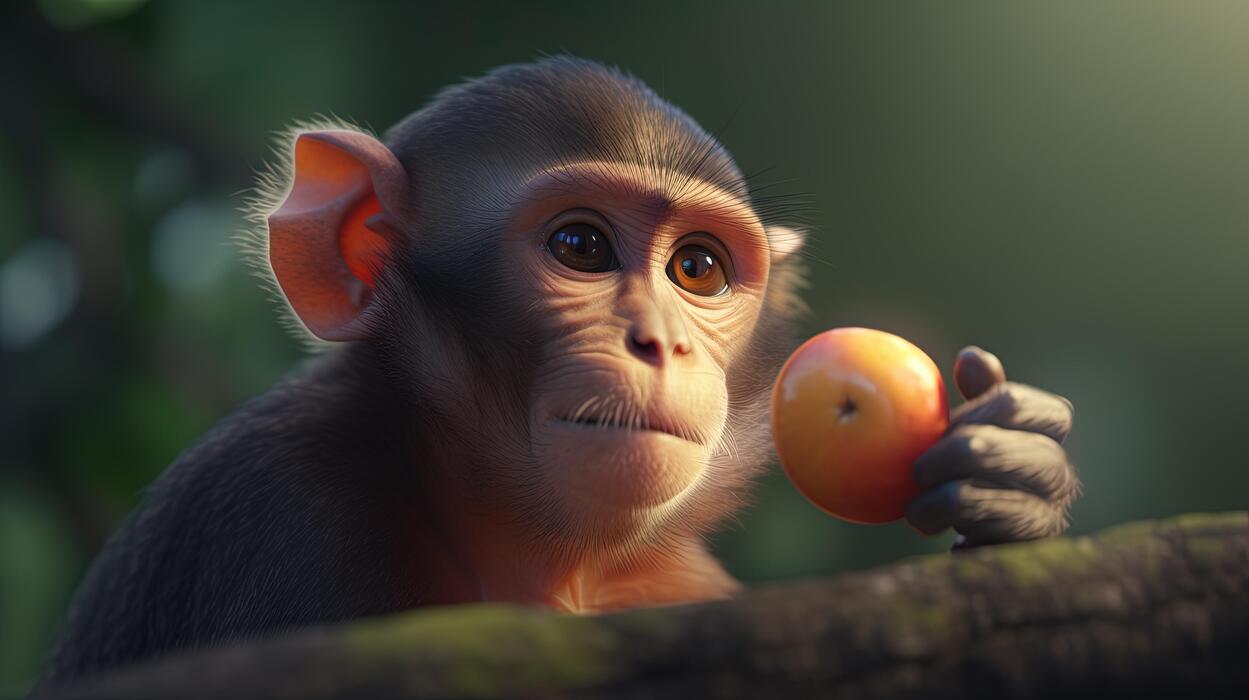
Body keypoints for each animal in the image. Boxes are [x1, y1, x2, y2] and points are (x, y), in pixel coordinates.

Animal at [38, 57, 1078, 687]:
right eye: (579, 246)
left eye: (697, 269)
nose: (661, 342)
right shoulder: (279, 517)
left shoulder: (676, 593)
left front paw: (1009, 489)